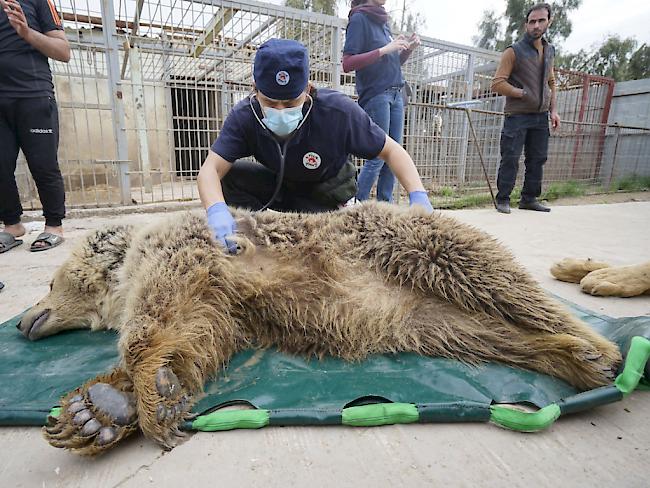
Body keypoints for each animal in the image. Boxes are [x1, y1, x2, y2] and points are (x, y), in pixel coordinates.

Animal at [17, 202, 621, 455]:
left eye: (48, 281)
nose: (22, 321)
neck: (124, 276)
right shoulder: (227, 306)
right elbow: (200, 337)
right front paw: (97, 410)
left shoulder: (181, 255)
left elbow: (157, 319)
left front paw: (138, 387)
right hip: (426, 320)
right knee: (485, 333)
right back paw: (570, 359)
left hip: (416, 245)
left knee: (506, 286)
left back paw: (600, 348)